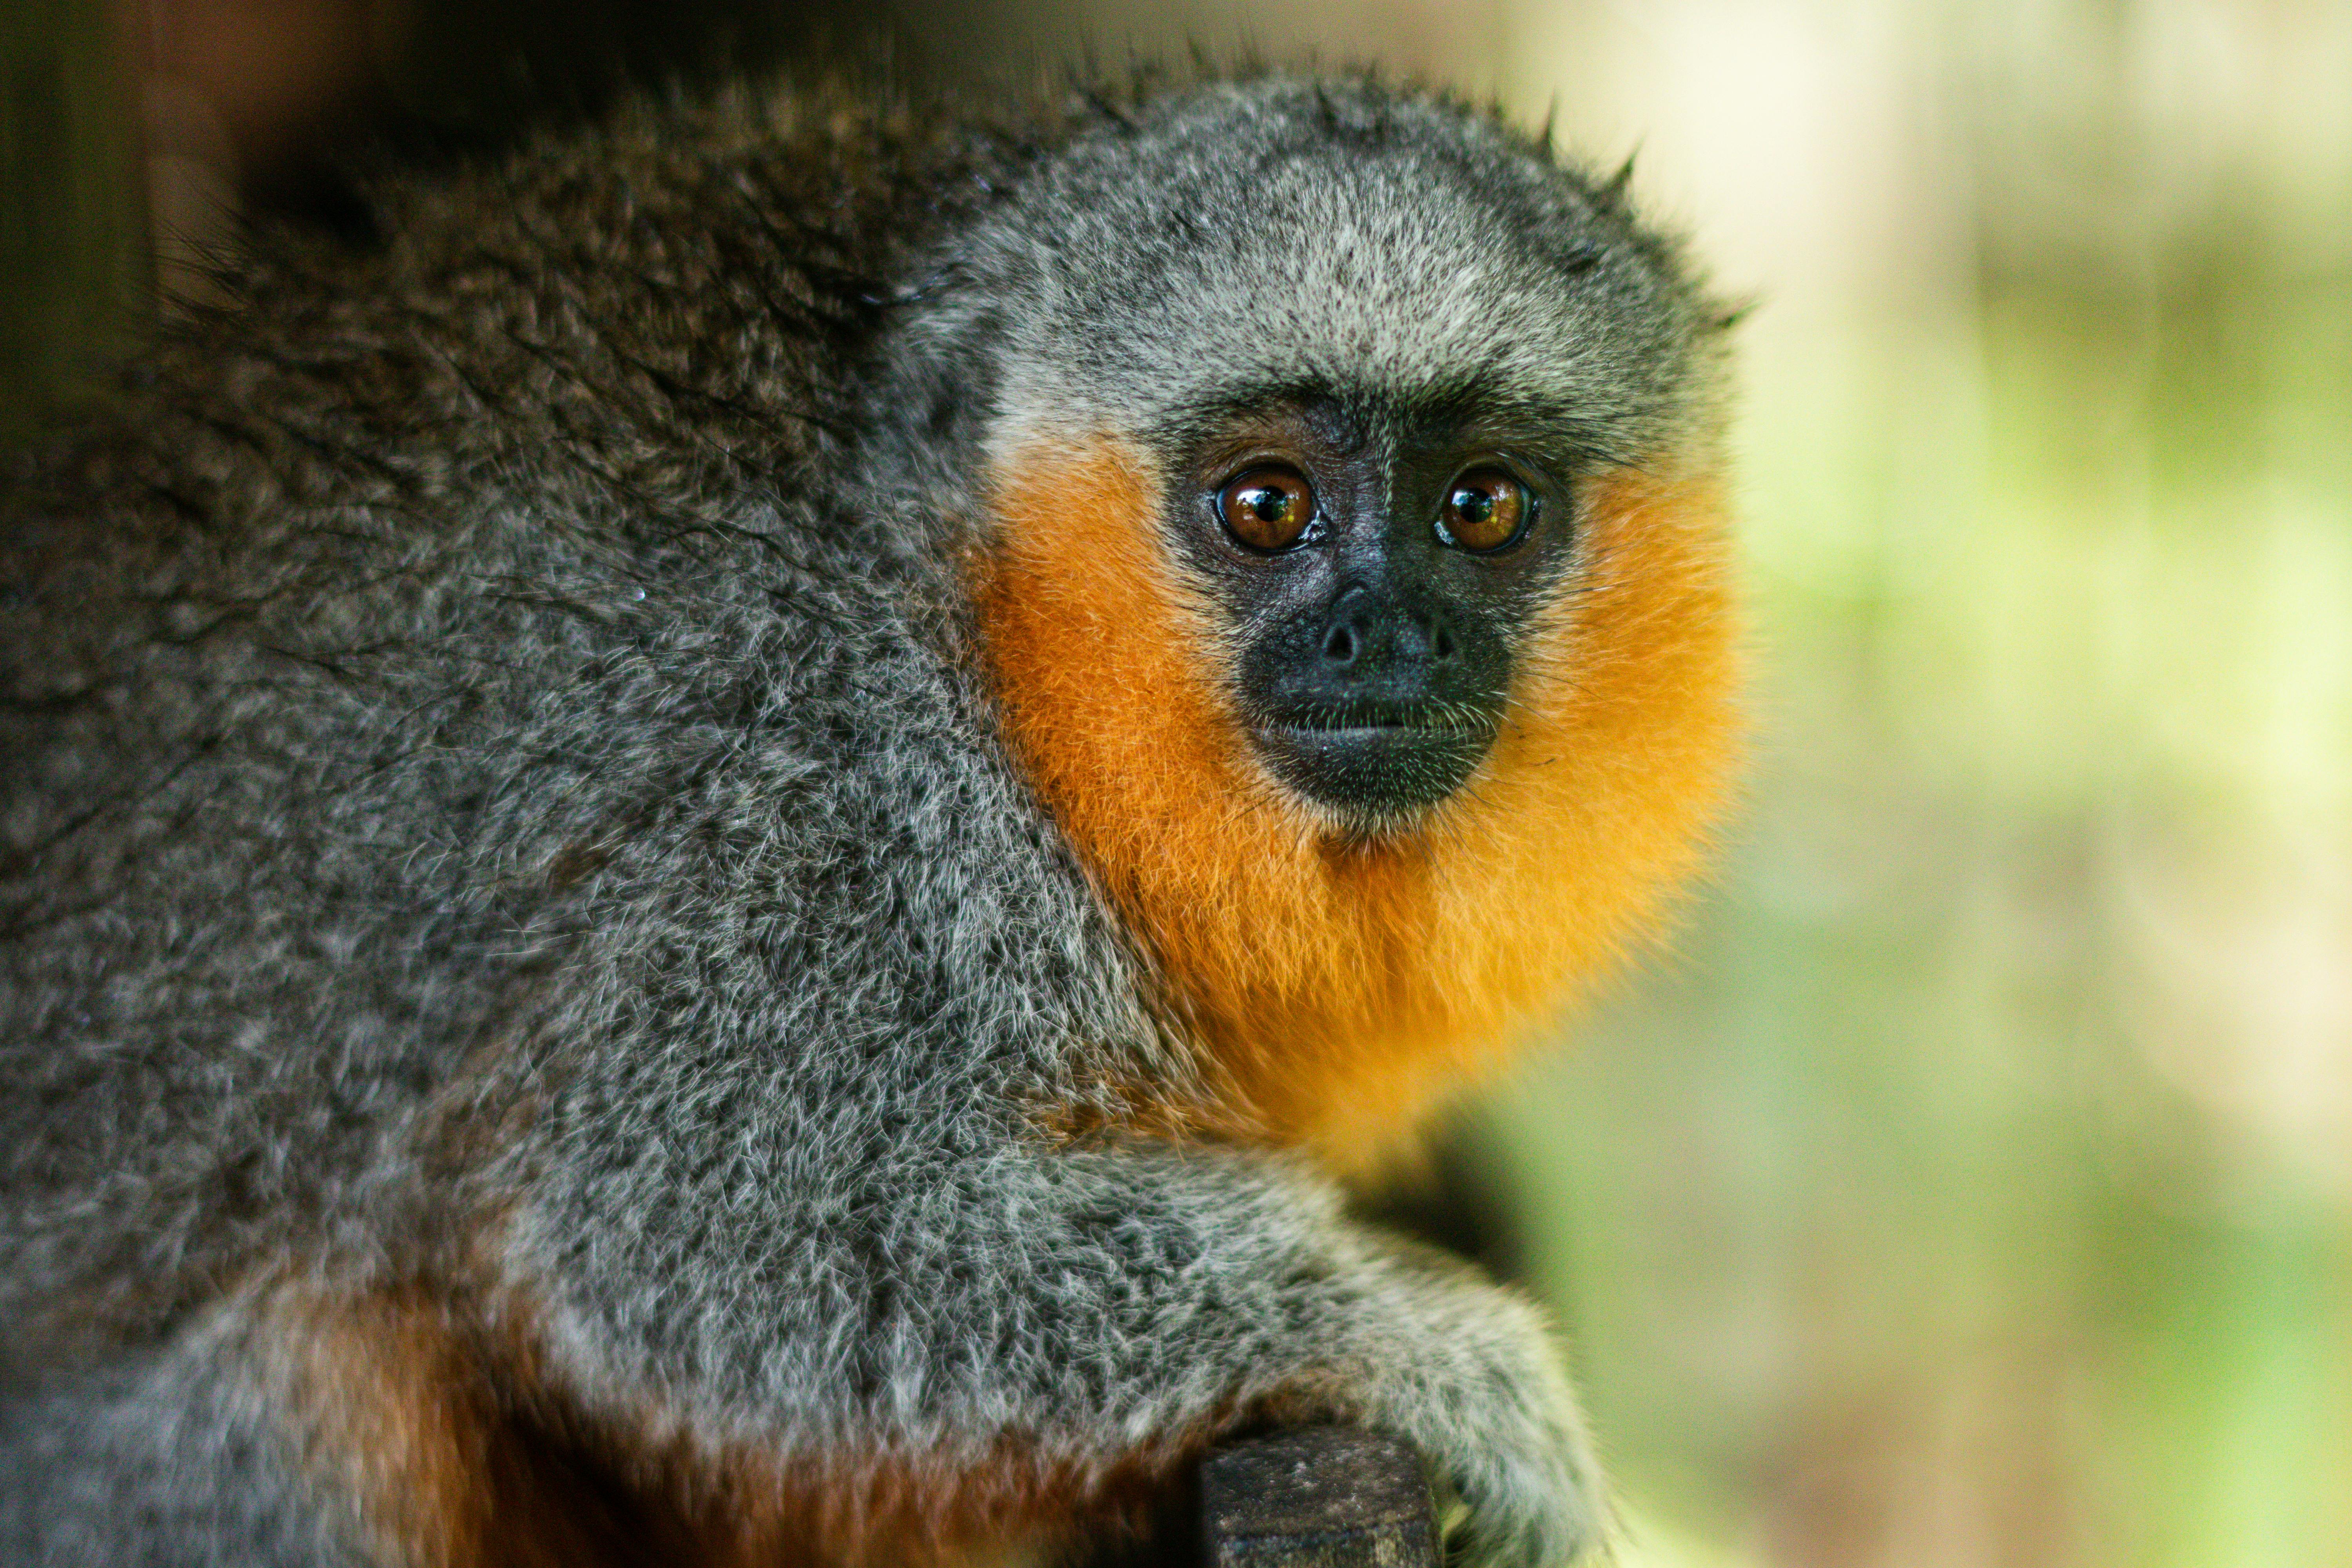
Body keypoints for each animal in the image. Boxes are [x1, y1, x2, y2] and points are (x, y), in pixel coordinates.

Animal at [0, 70, 1738, 1568]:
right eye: (1267, 506)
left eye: (1484, 509)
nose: (1383, 643)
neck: (994, 661)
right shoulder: (817, 824)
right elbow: (706, 1258)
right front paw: (1436, 1352)